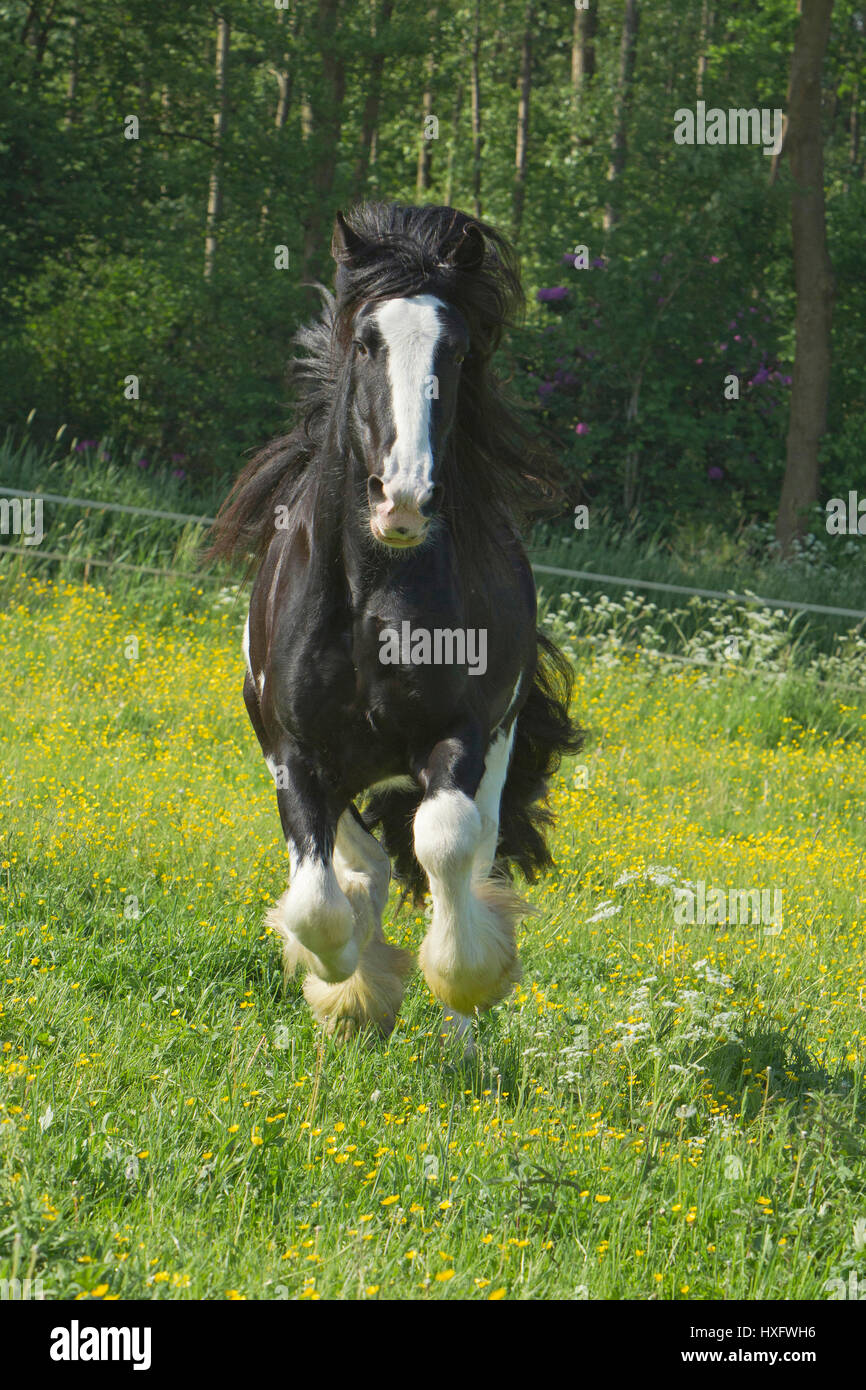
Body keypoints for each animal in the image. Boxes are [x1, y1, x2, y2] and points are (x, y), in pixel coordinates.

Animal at [209, 202, 579, 1043]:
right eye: (365, 340)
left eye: (459, 348)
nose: (402, 498)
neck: (376, 593)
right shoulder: (292, 748)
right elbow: (319, 901)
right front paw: (349, 988)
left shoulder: (464, 731)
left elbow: (442, 842)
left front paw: (468, 976)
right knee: (363, 861)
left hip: (502, 743)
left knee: (463, 853)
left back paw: (461, 1034)